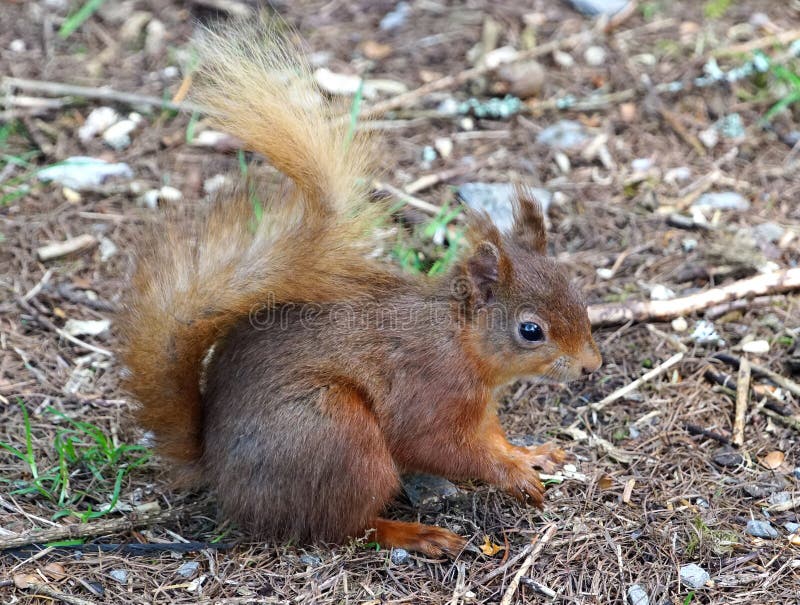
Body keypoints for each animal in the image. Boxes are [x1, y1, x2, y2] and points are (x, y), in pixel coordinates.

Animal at [118, 23, 602, 557]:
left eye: (579, 296)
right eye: (531, 330)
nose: (591, 366)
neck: (461, 343)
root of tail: (219, 475)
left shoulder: (479, 409)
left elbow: (492, 438)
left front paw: (528, 453)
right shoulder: (429, 389)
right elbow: (438, 447)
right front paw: (511, 475)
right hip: (338, 437)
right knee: (347, 526)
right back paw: (416, 534)